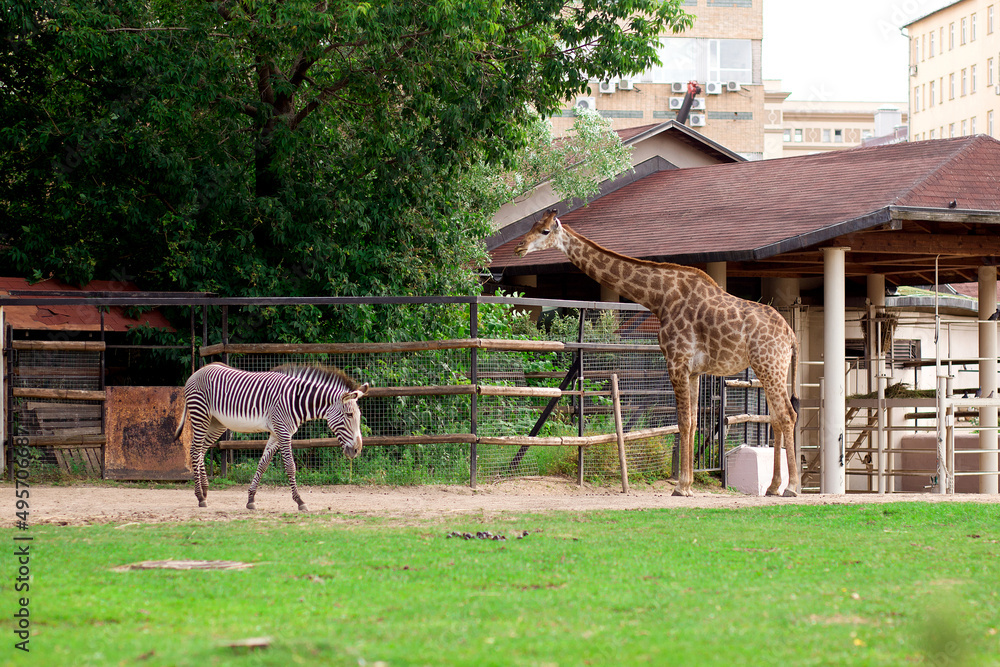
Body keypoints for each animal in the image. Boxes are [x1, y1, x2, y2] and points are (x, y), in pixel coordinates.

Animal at [174, 362, 370, 511]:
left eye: (359, 416)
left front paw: (251, 499)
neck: (296, 400)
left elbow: (263, 464)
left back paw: (205, 491)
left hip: (217, 423)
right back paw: (200, 497)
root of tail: (197, 372)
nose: (357, 450)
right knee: (194, 450)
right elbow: (290, 467)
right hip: (201, 415)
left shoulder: (276, 433)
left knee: (201, 450)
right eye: (349, 415)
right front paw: (300, 501)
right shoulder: (283, 432)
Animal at [514, 210, 800, 496]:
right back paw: (774, 486)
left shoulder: (676, 360)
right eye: (532, 226)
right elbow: (693, 422)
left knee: (788, 415)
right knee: (777, 417)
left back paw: (792, 487)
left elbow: (683, 422)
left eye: (545, 231)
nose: (519, 247)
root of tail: (792, 336)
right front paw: (688, 484)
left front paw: (681, 487)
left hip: (769, 365)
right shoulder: (694, 370)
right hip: (771, 368)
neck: (659, 298)